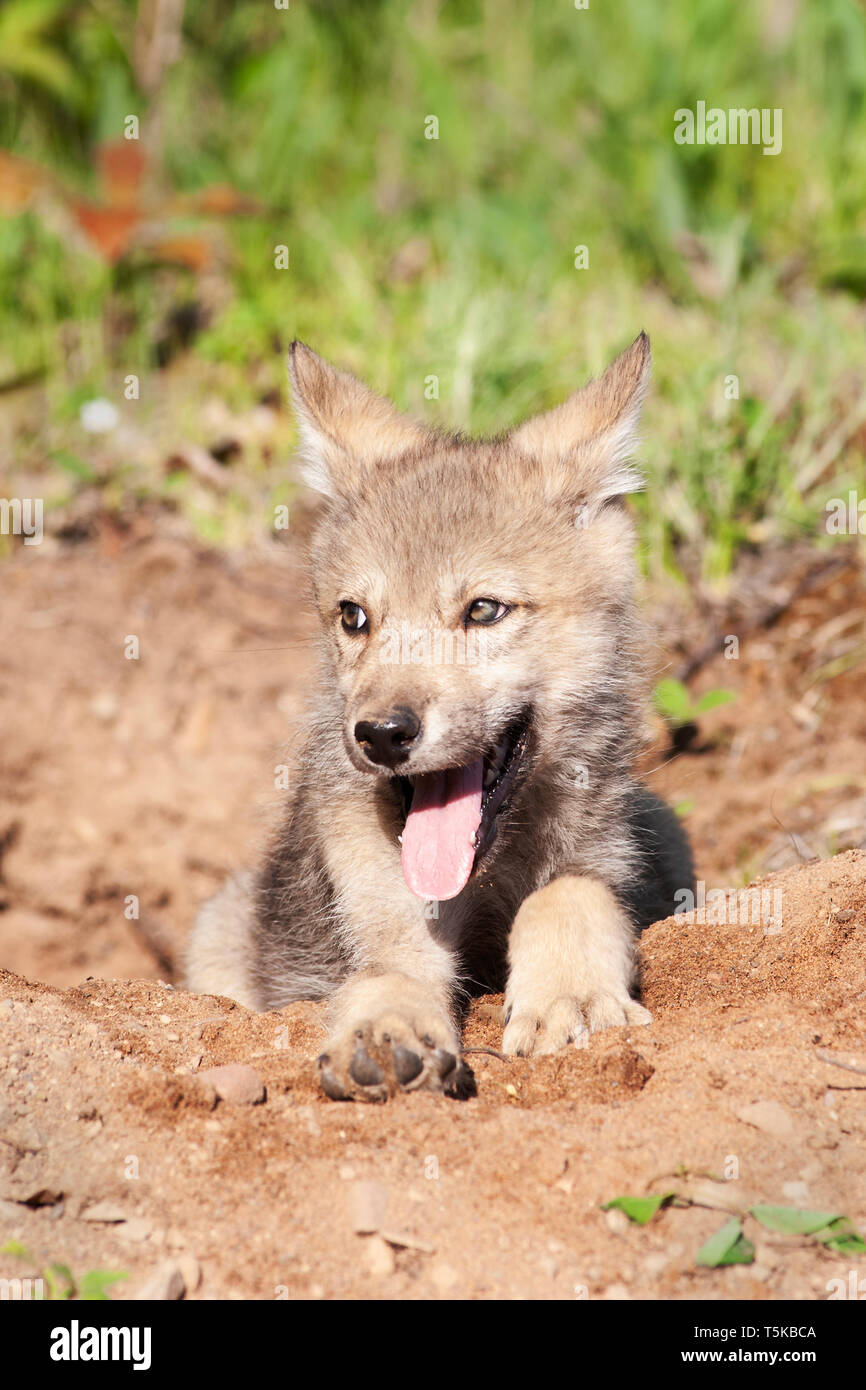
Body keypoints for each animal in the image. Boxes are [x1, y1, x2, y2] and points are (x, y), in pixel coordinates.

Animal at [186, 333, 694, 1101]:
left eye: (483, 610)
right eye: (354, 617)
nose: (381, 735)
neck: (487, 882)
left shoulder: (603, 862)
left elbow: (569, 895)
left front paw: (570, 998)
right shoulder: (387, 913)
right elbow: (391, 973)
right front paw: (384, 1032)